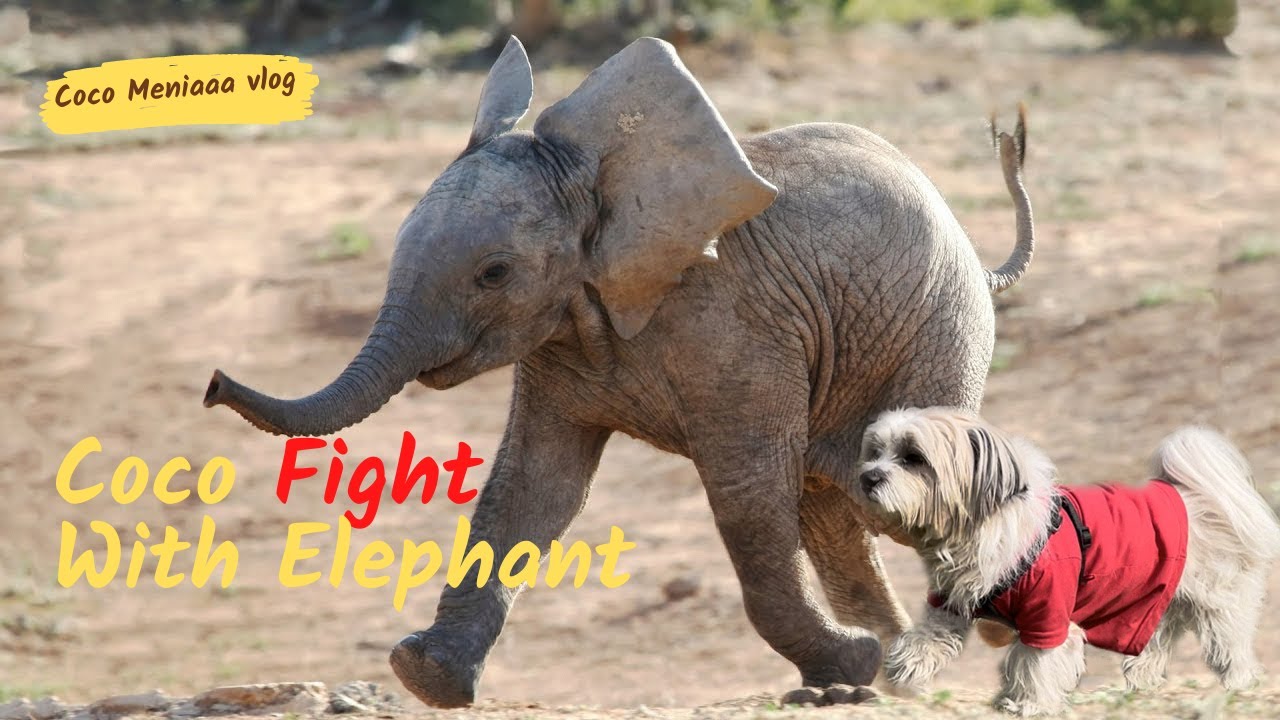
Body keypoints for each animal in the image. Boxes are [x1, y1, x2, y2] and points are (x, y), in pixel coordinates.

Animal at [203, 36, 1034, 707]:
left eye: (494, 273)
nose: (212, 384)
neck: (599, 187)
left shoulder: (735, 327)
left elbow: (745, 496)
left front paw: (848, 669)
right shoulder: (559, 337)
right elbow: (533, 488)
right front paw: (425, 676)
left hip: (940, 334)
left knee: (896, 503)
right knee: (833, 510)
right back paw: (896, 670)